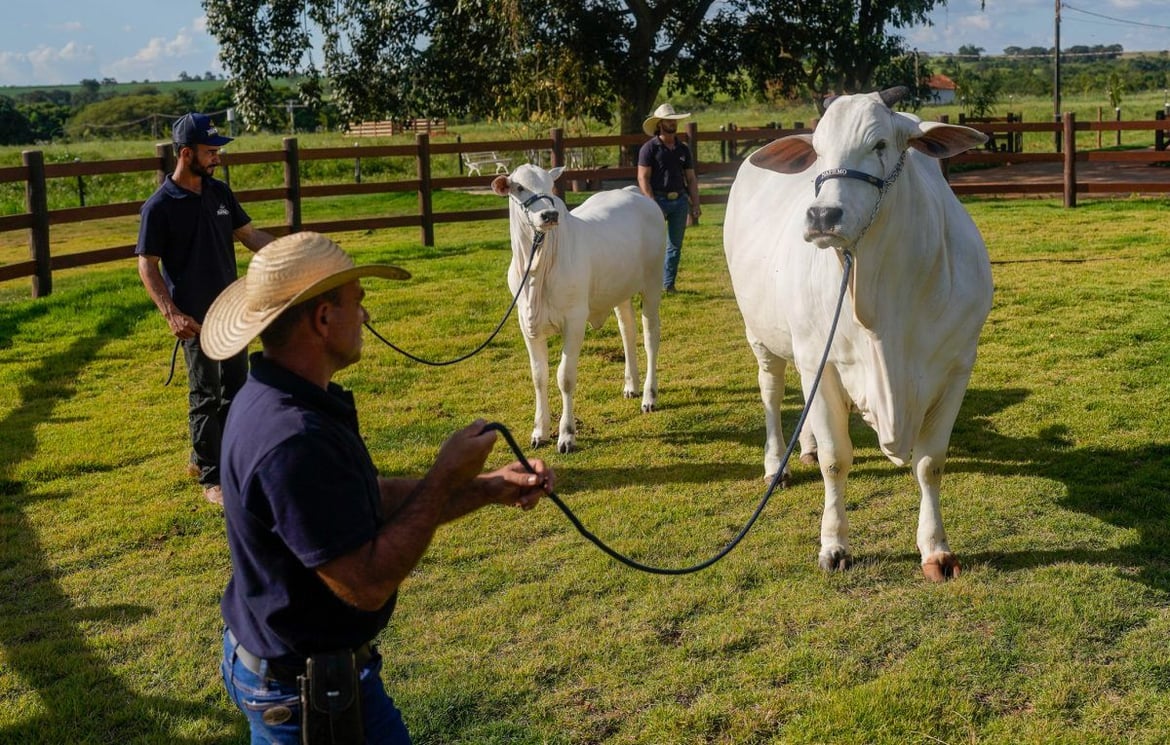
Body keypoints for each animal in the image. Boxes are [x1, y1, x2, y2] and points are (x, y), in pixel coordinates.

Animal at [491, 164, 666, 453]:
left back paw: (649, 397)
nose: (549, 215)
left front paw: (566, 435)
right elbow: (539, 376)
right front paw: (539, 432)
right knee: (627, 332)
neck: (537, 270)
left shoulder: (574, 320)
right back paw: (631, 385)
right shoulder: (526, 323)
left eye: (550, 185)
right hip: (619, 291)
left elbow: (565, 377)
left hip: (652, 285)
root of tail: (633, 192)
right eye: (519, 187)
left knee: (651, 337)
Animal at [723, 87, 994, 581]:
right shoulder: (823, 361)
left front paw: (936, 549)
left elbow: (930, 463)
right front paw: (834, 545)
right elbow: (837, 460)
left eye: (880, 144)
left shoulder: (957, 367)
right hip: (762, 335)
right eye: (817, 151)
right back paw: (776, 464)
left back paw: (804, 447)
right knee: (771, 391)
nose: (822, 215)